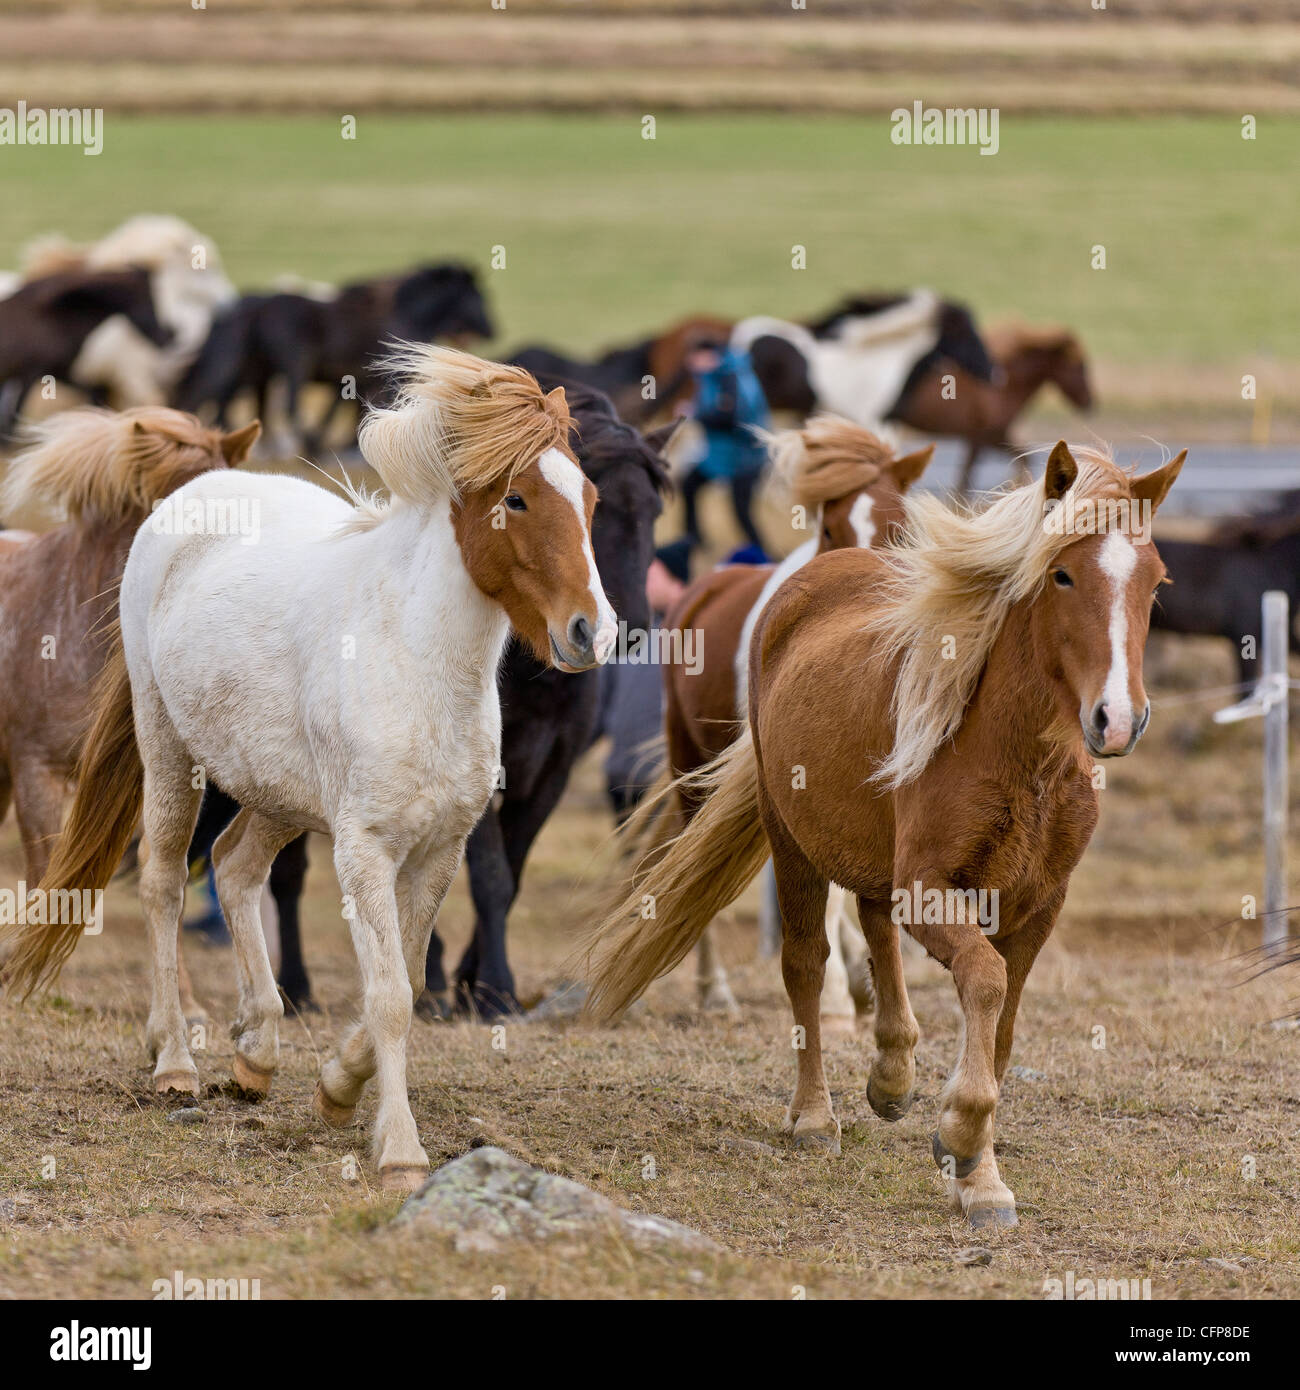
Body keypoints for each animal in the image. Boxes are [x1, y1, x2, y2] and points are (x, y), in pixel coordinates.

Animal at [0, 269, 172, 438]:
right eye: (151, 302)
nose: (164, 338)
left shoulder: (59, 371)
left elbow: (93, 391)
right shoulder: (32, 373)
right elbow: (14, 417)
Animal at [174, 264, 494, 454]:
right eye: (477, 296)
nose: (493, 329)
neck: (405, 313)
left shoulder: (356, 378)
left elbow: (344, 410)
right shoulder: (383, 376)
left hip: (257, 370)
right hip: (290, 366)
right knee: (280, 405)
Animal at [660, 417, 934, 1024]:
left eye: (898, 528)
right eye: (829, 528)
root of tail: (703, 588)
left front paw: (863, 984)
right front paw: (835, 1000)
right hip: (690, 767)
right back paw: (715, 991)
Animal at [897, 322, 1094, 492]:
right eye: (1081, 366)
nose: (1090, 402)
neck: (1005, 380)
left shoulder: (990, 436)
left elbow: (1022, 457)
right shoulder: (985, 436)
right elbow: (965, 480)